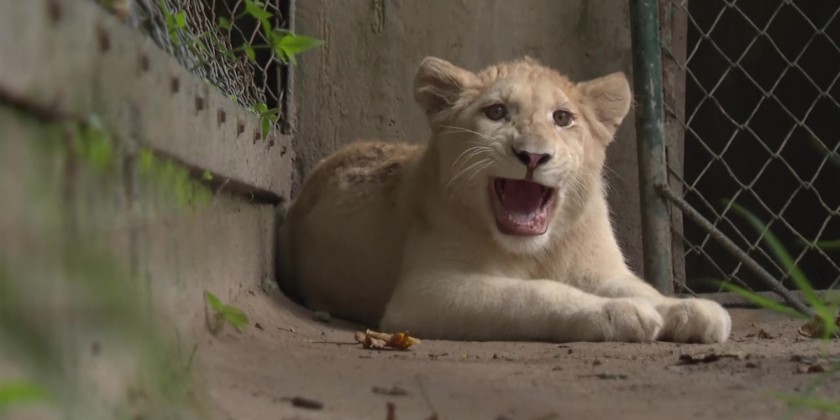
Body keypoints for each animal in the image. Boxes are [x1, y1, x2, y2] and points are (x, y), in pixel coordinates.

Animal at [278, 57, 731, 343]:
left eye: (562, 118)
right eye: (496, 112)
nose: (532, 156)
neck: (539, 248)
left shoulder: (601, 270)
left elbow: (642, 288)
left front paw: (694, 311)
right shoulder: (426, 291)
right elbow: (533, 294)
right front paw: (618, 314)